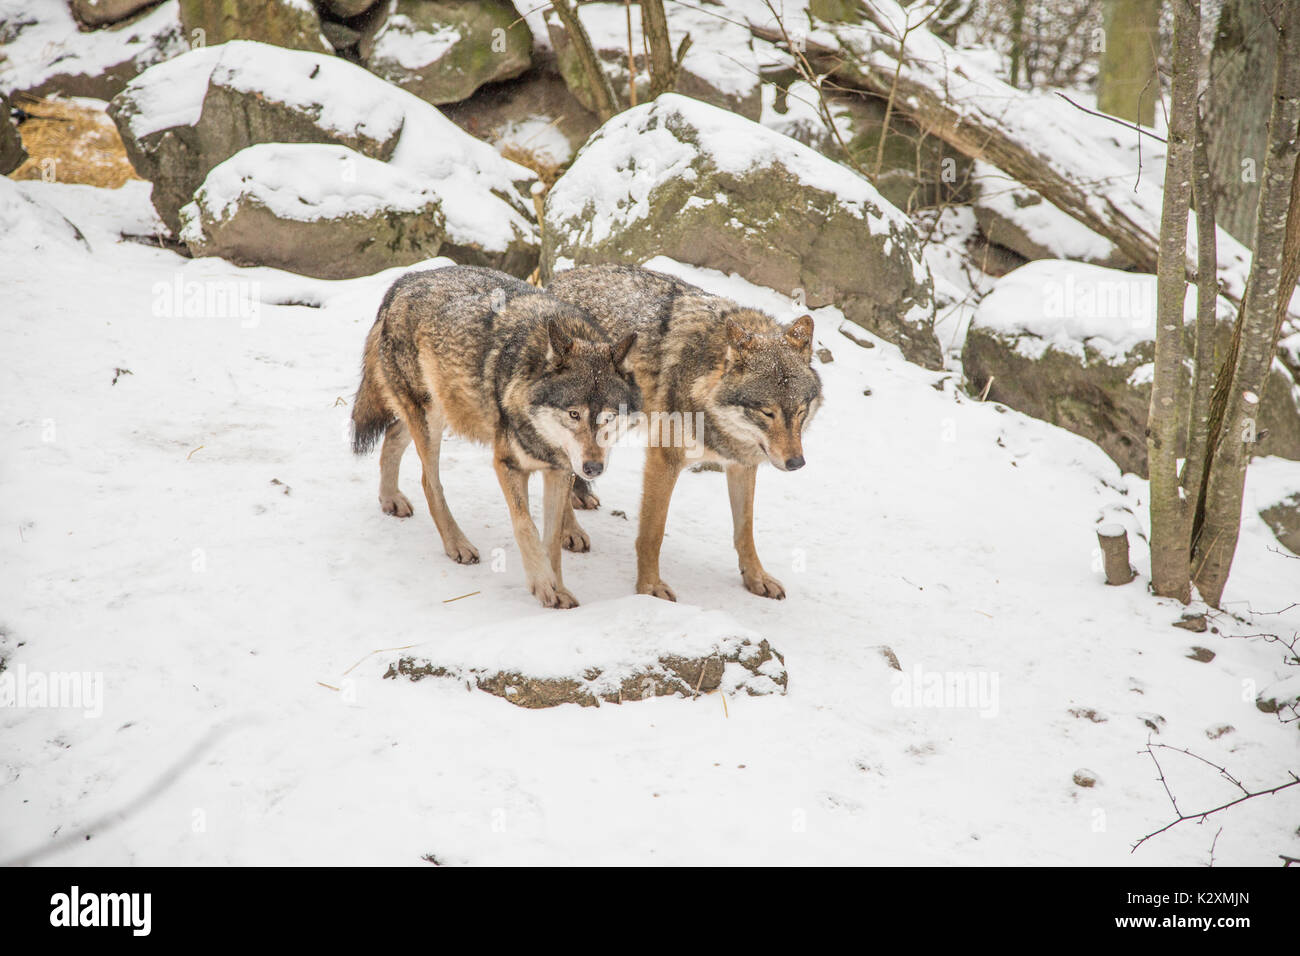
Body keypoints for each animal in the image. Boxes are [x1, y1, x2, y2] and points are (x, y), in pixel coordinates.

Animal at [351, 265, 640, 609]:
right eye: (574, 414)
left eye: (608, 417)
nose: (593, 468)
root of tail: (403, 281)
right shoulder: (508, 464)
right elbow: (526, 526)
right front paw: (543, 585)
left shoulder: (559, 471)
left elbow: (552, 539)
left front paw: (559, 588)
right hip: (430, 417)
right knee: (429, 481)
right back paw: (457, 543)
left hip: (437, 411)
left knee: (393, 436)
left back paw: (390, 498)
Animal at [547, 264, 822, 601]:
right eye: (767, 412)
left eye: (800, 411)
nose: (796, 463)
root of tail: (560, 276)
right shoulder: (664, 459)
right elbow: (652, 533)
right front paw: (649, 586)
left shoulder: (742, 465)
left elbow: (745, 531)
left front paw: (756, 577)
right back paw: (570, 531)